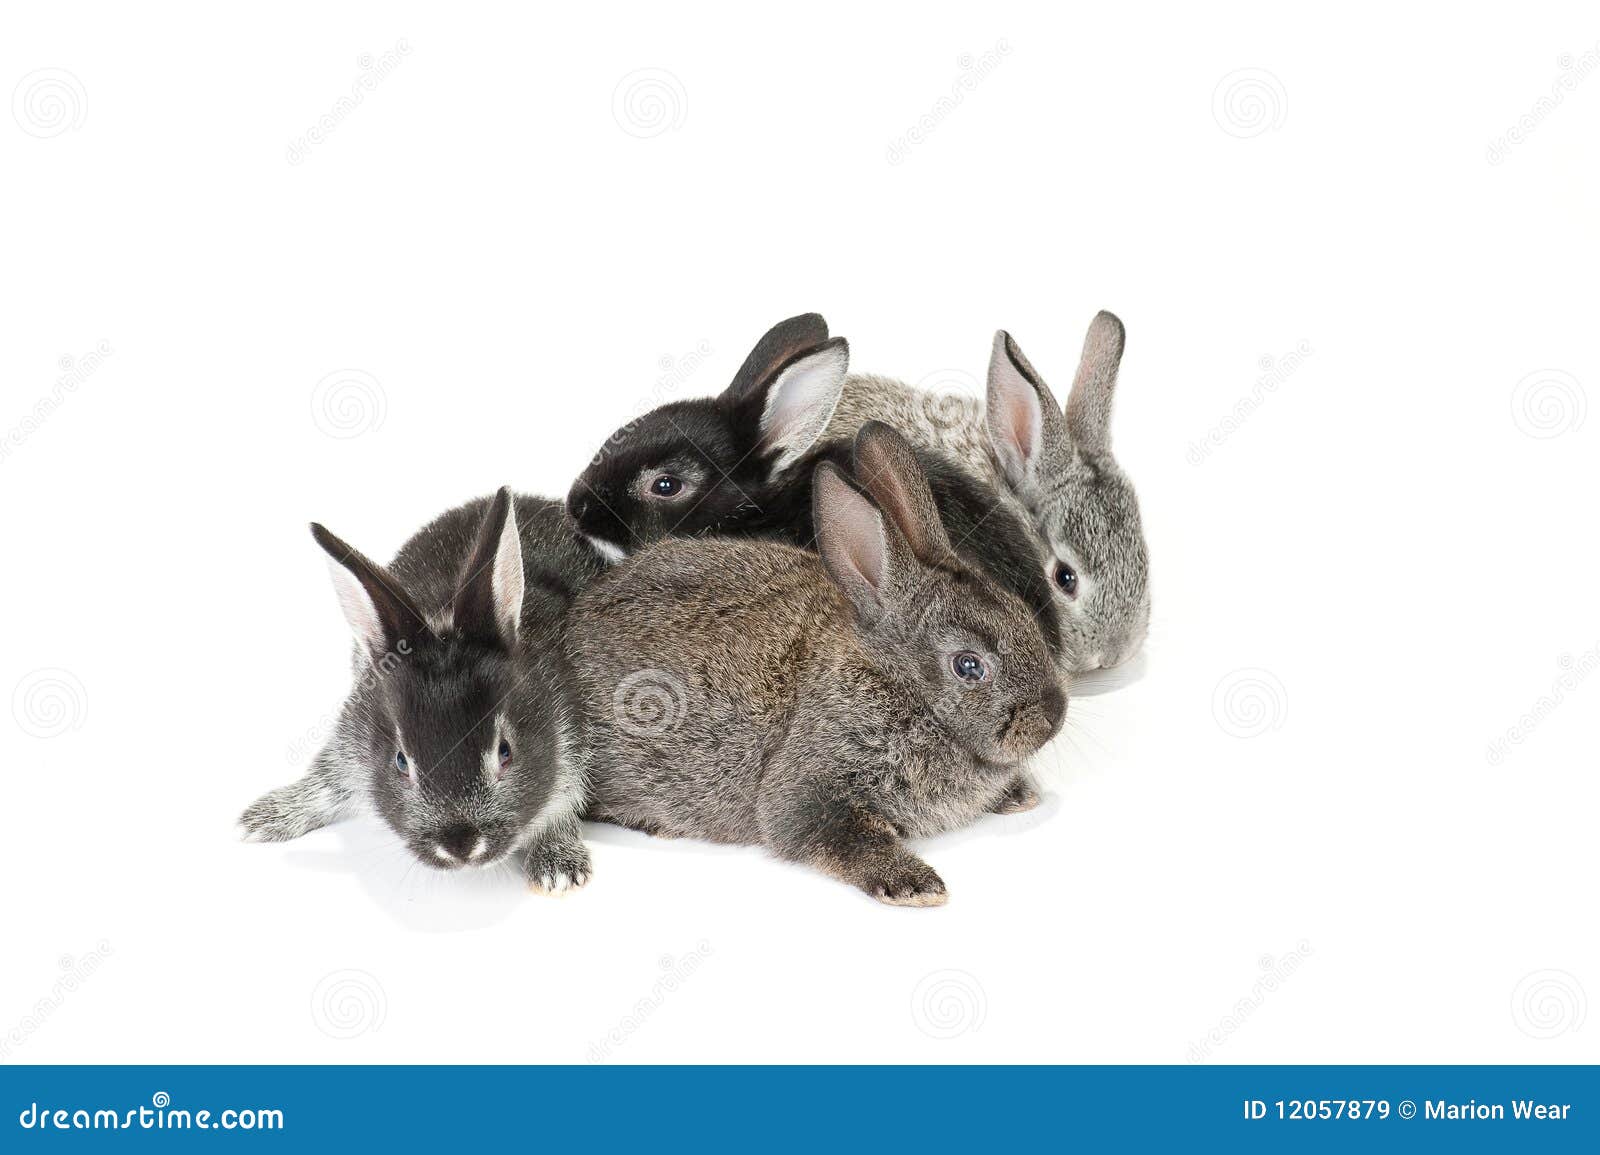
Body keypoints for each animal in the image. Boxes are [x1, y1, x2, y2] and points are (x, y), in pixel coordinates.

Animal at [239, 487, 603, 893]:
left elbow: (562, 802)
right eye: (401, 761)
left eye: (505, 751)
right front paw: (263, 818)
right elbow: (327, 778)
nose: (460, 847)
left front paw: (558, 867)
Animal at [567, 422, 1067, 906]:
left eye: (1023, 615)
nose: (1054, 716)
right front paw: (914, 884)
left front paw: (1019, 795)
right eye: (968, 666)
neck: (896, 680)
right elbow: (831, 834)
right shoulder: (812, 785)